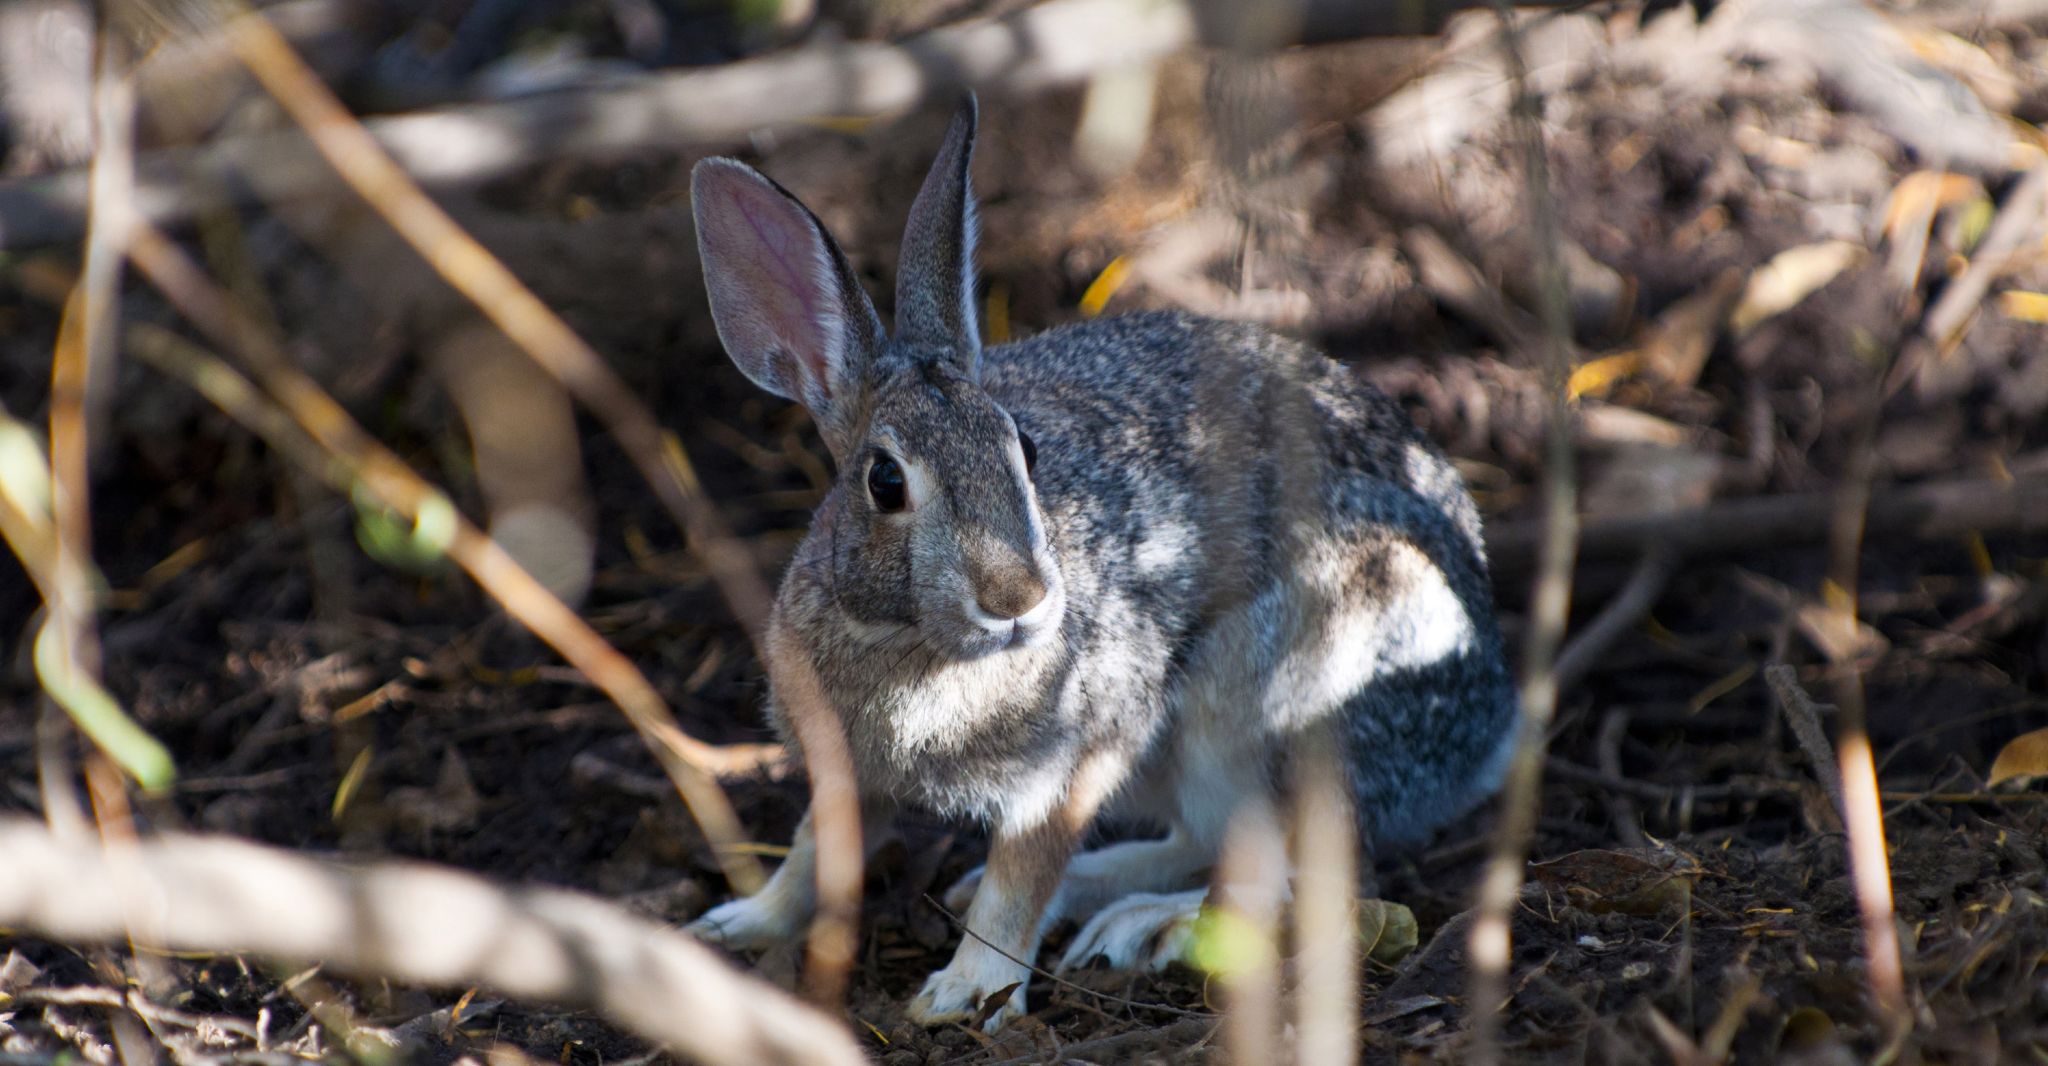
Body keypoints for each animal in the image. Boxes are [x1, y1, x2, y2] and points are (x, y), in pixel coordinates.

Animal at [683, 95, 1518, 1032]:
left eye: (1025, 449)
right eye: (885, 481)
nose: (1018, 598)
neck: (914, 644)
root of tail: (1485, 727)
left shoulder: (1079, 758)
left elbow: (1021, 879)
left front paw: (965, 992)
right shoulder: (842, 769)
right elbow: (811, 852)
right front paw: (739, 923)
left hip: (1262, 699)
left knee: (1290, 872)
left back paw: (1142, 928)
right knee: (1210, 842)